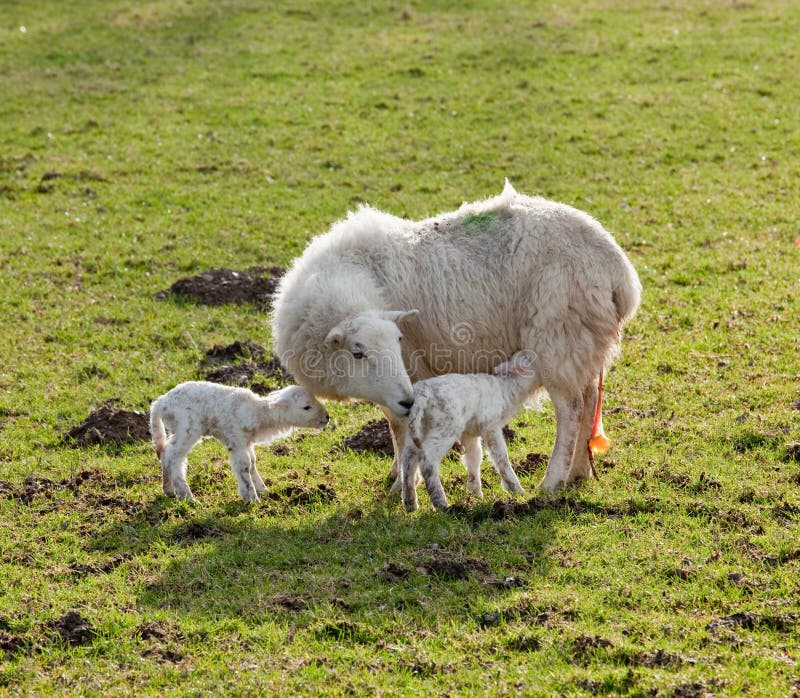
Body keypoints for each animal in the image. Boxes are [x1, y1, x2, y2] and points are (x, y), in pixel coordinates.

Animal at [149, 382, 329, 503]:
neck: (257, 412)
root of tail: (160, 403)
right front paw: (252, 498)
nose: (327, 417)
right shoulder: (236, 440)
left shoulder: (247, 442)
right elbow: (244, 465)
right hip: (187, 427)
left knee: (165, 453)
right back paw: (187, 497)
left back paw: (169, 490)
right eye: (306, 407)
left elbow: (253, 462)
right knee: (174, 457)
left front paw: (262, 489)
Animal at [271, 180, 640, 492]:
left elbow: (402, 428)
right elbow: (394, 424)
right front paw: (395, 473)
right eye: (358, 353)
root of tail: (619, 272)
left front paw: (402, 483)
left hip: (558, 336)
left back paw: (551, 481)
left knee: (571, 409)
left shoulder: (411, 373)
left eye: (397, 341)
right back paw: (578, 472)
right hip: (583, 341)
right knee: (590, 398)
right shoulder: (397, 386)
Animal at [398, 351, 536, 512]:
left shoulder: (469, 433)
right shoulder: (490, 425)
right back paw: (441, 504)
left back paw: (410, 502)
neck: (507, 389)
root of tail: (421, 394)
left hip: (417, 428)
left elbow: (474, 457)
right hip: (445, 426)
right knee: (427, 459)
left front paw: (475, 492)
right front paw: (516, 489)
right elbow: (500, 456)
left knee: (408, 458)